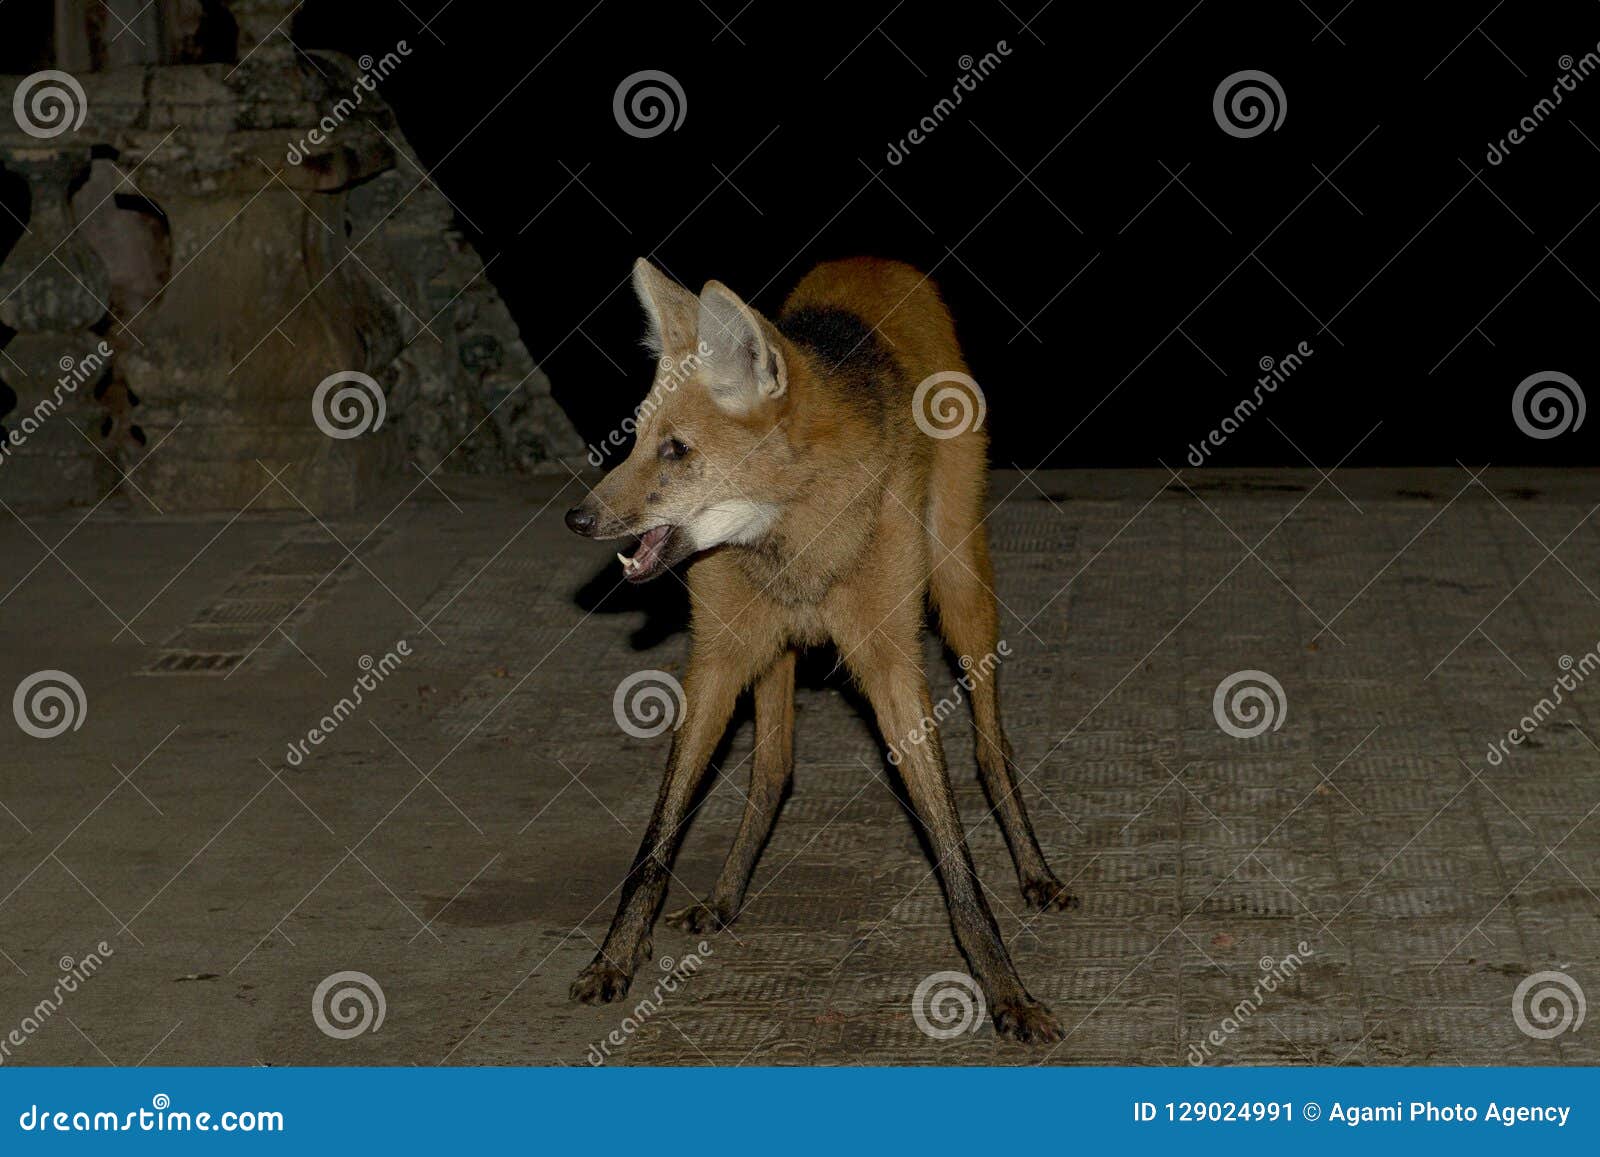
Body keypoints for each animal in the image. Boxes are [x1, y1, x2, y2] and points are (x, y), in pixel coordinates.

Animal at [563, 256, 1075, 1041]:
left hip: (959, 585)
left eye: (676, 451)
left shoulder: (891, 660)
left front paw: (1006, 988)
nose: (578, 518)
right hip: (773, 650)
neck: (788, 544)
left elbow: (952, 848)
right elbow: (657, 836)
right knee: (774, 765)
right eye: (635, 439)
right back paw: (727, 895)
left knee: (993, 748)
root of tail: (876, 259)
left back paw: (1035, 872)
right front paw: (615, 957)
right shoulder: (718, 657)